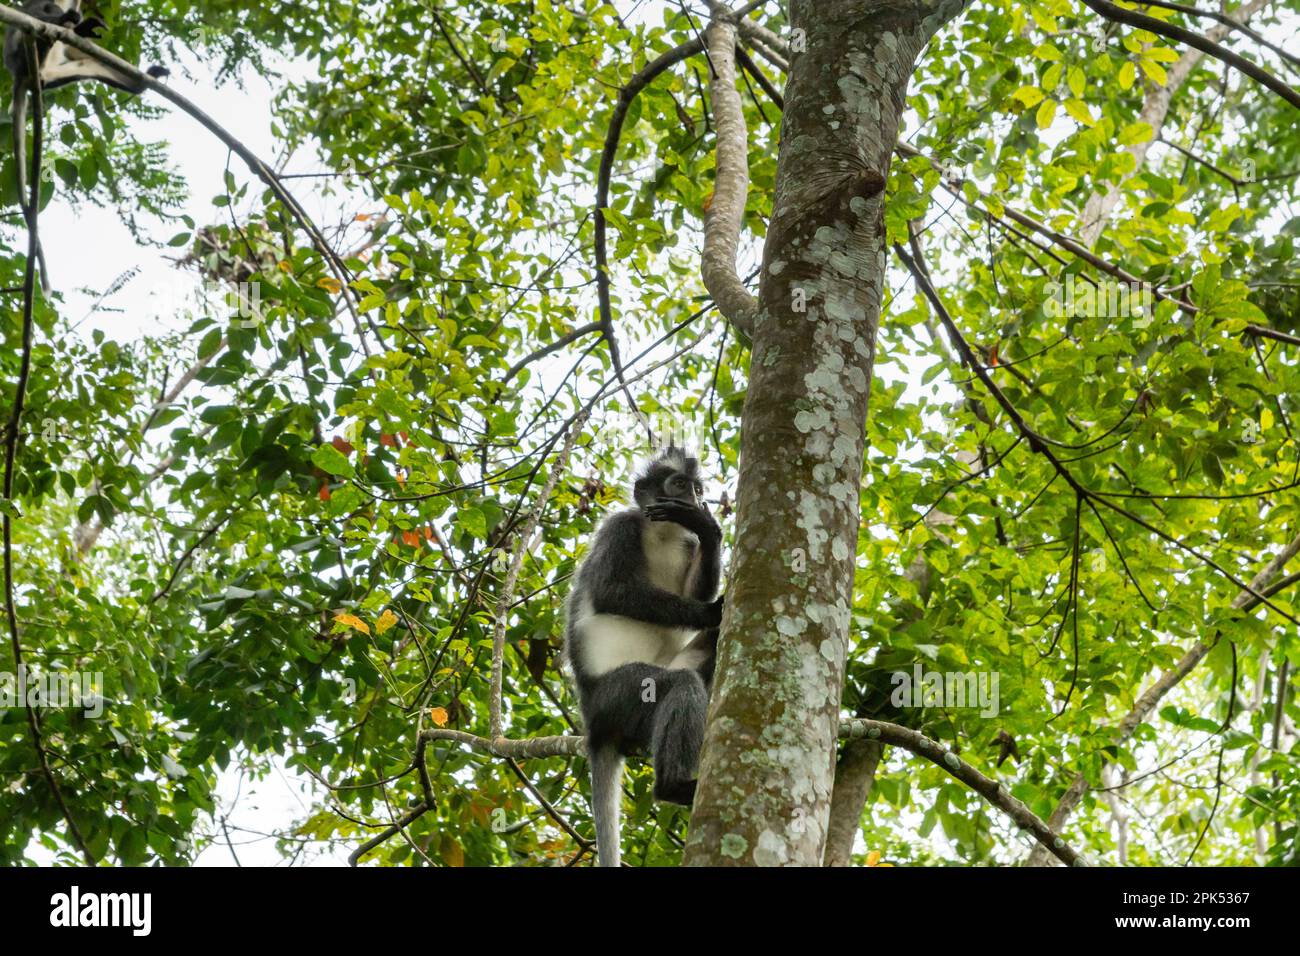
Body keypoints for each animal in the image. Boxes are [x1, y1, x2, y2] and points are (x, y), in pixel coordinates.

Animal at [5, 1, 168, 292]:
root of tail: (21, 74)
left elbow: (75, 49)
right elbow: (33, 10)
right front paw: (71, 22)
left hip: (54, 74)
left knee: (86, 63)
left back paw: (140, 83)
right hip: (19, 52)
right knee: (36, 21)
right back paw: (59, 29)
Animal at [564, 445, 725, 867]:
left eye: (698, 489)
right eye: (680, 484)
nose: (695, 499)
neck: (663, 533)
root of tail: (592, 720)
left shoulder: (688, 545)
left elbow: (696, 585)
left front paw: (709, 529)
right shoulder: (620, 527)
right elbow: (610, 592)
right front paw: (710, 613)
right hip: (615, 695)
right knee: (678, 684)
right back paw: (672, 788)